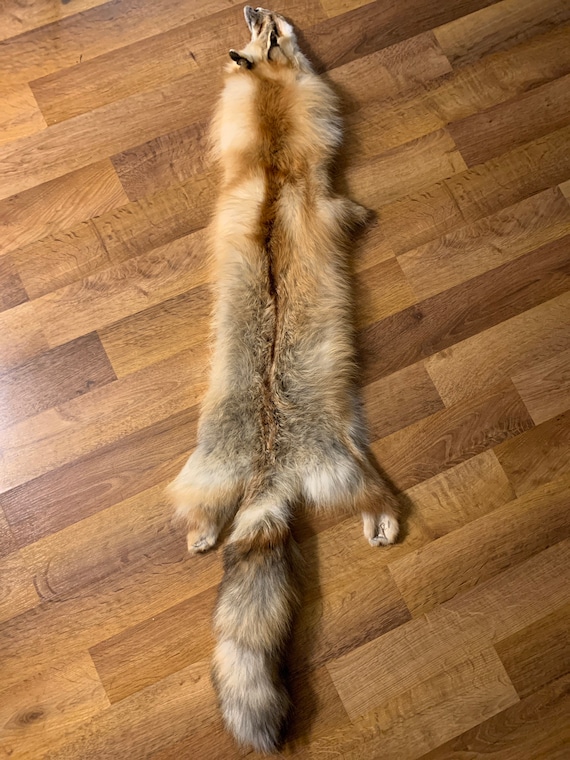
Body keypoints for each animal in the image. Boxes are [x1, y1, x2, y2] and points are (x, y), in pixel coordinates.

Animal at [167, 6, 400, 753]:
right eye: (265, 33)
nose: (254, 8)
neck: (272, 157)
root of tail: (271, 465)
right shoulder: (332, 197)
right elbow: (352, 209)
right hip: (350, 469)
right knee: (378, 498)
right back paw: (385, 525)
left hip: (211, 479)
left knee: (205, 516)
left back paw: (201, 538)